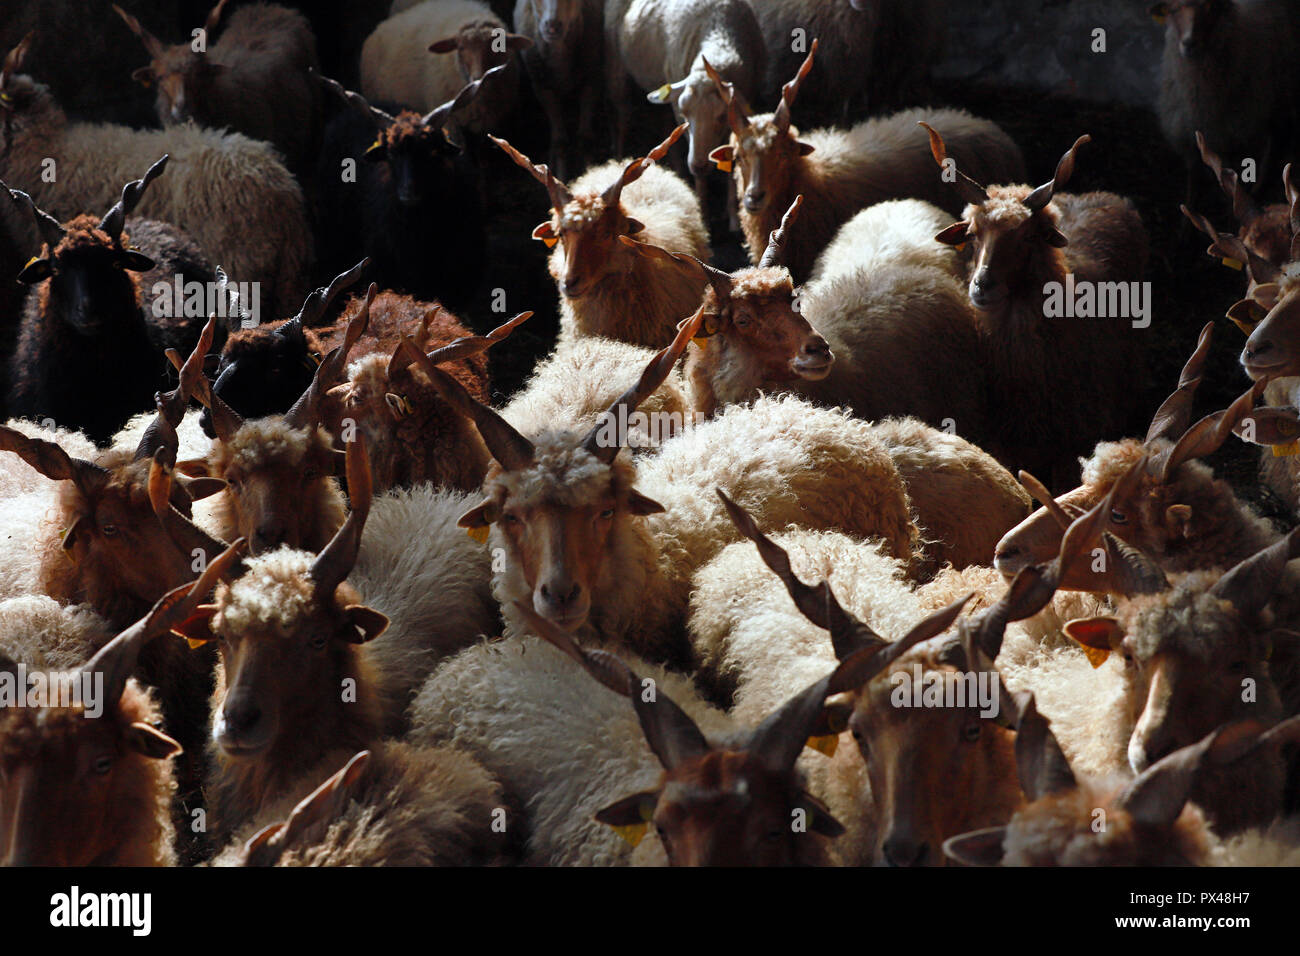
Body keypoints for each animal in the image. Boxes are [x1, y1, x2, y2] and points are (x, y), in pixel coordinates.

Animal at [512, 0, 605, 180]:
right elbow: (560, 141)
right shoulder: (543, 89)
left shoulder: (591, 81)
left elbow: (585, 138)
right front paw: (561, 181)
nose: (552, 26)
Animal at [609, 0, 765, 213]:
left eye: (722, 116)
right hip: (617, 67)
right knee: (622, 117)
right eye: (684, 114)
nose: (698, 166)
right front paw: (701, 207)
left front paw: (733, 212)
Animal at [924, 124, 1149, 491]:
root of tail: (1095, 194)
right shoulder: (1008, 446)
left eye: (1029, 237)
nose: (982, 286)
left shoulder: (1070, 449)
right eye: (972, 234)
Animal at [1152, 0, 1300, 211]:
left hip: (1280, 93)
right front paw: (1187, 216)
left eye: (1211, 8)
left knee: (1278, 140)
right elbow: (1192, 187)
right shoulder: (1188, 137)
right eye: (1173, 10)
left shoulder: (1233, 138)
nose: (1189, 43)